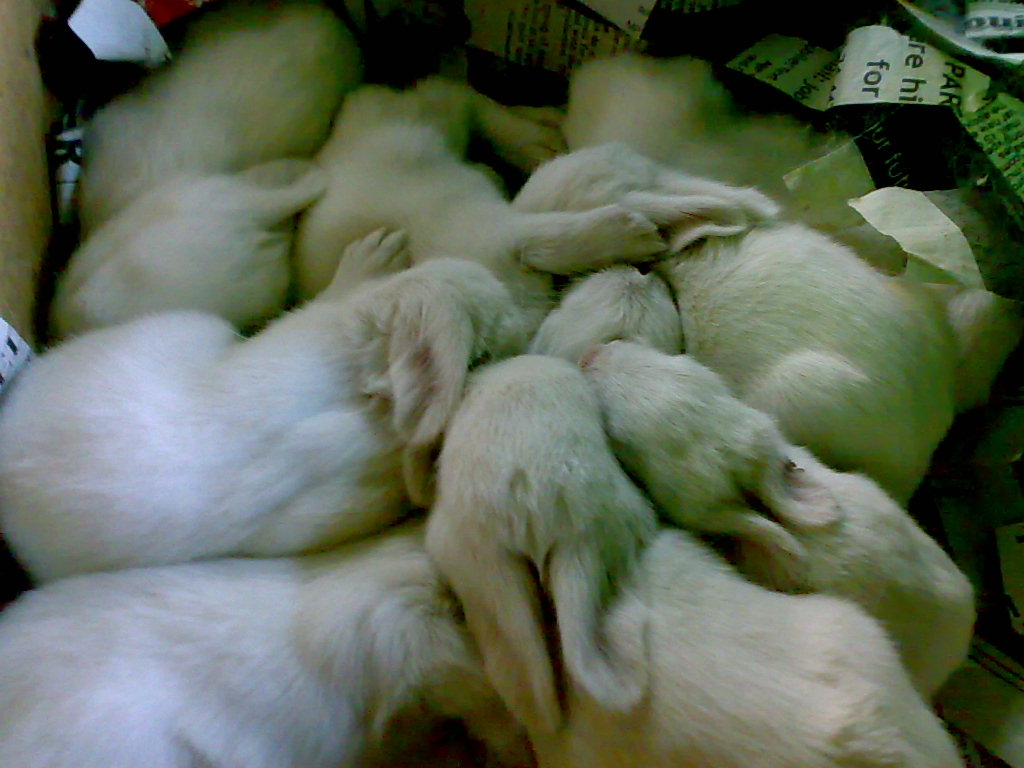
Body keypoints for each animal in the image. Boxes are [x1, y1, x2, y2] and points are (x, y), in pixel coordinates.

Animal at [294, 79, 666, 332]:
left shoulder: (499, 231)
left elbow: (553, 240)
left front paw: (637, 236)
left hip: (437, 121)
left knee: (464, 95)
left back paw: (538, 138)